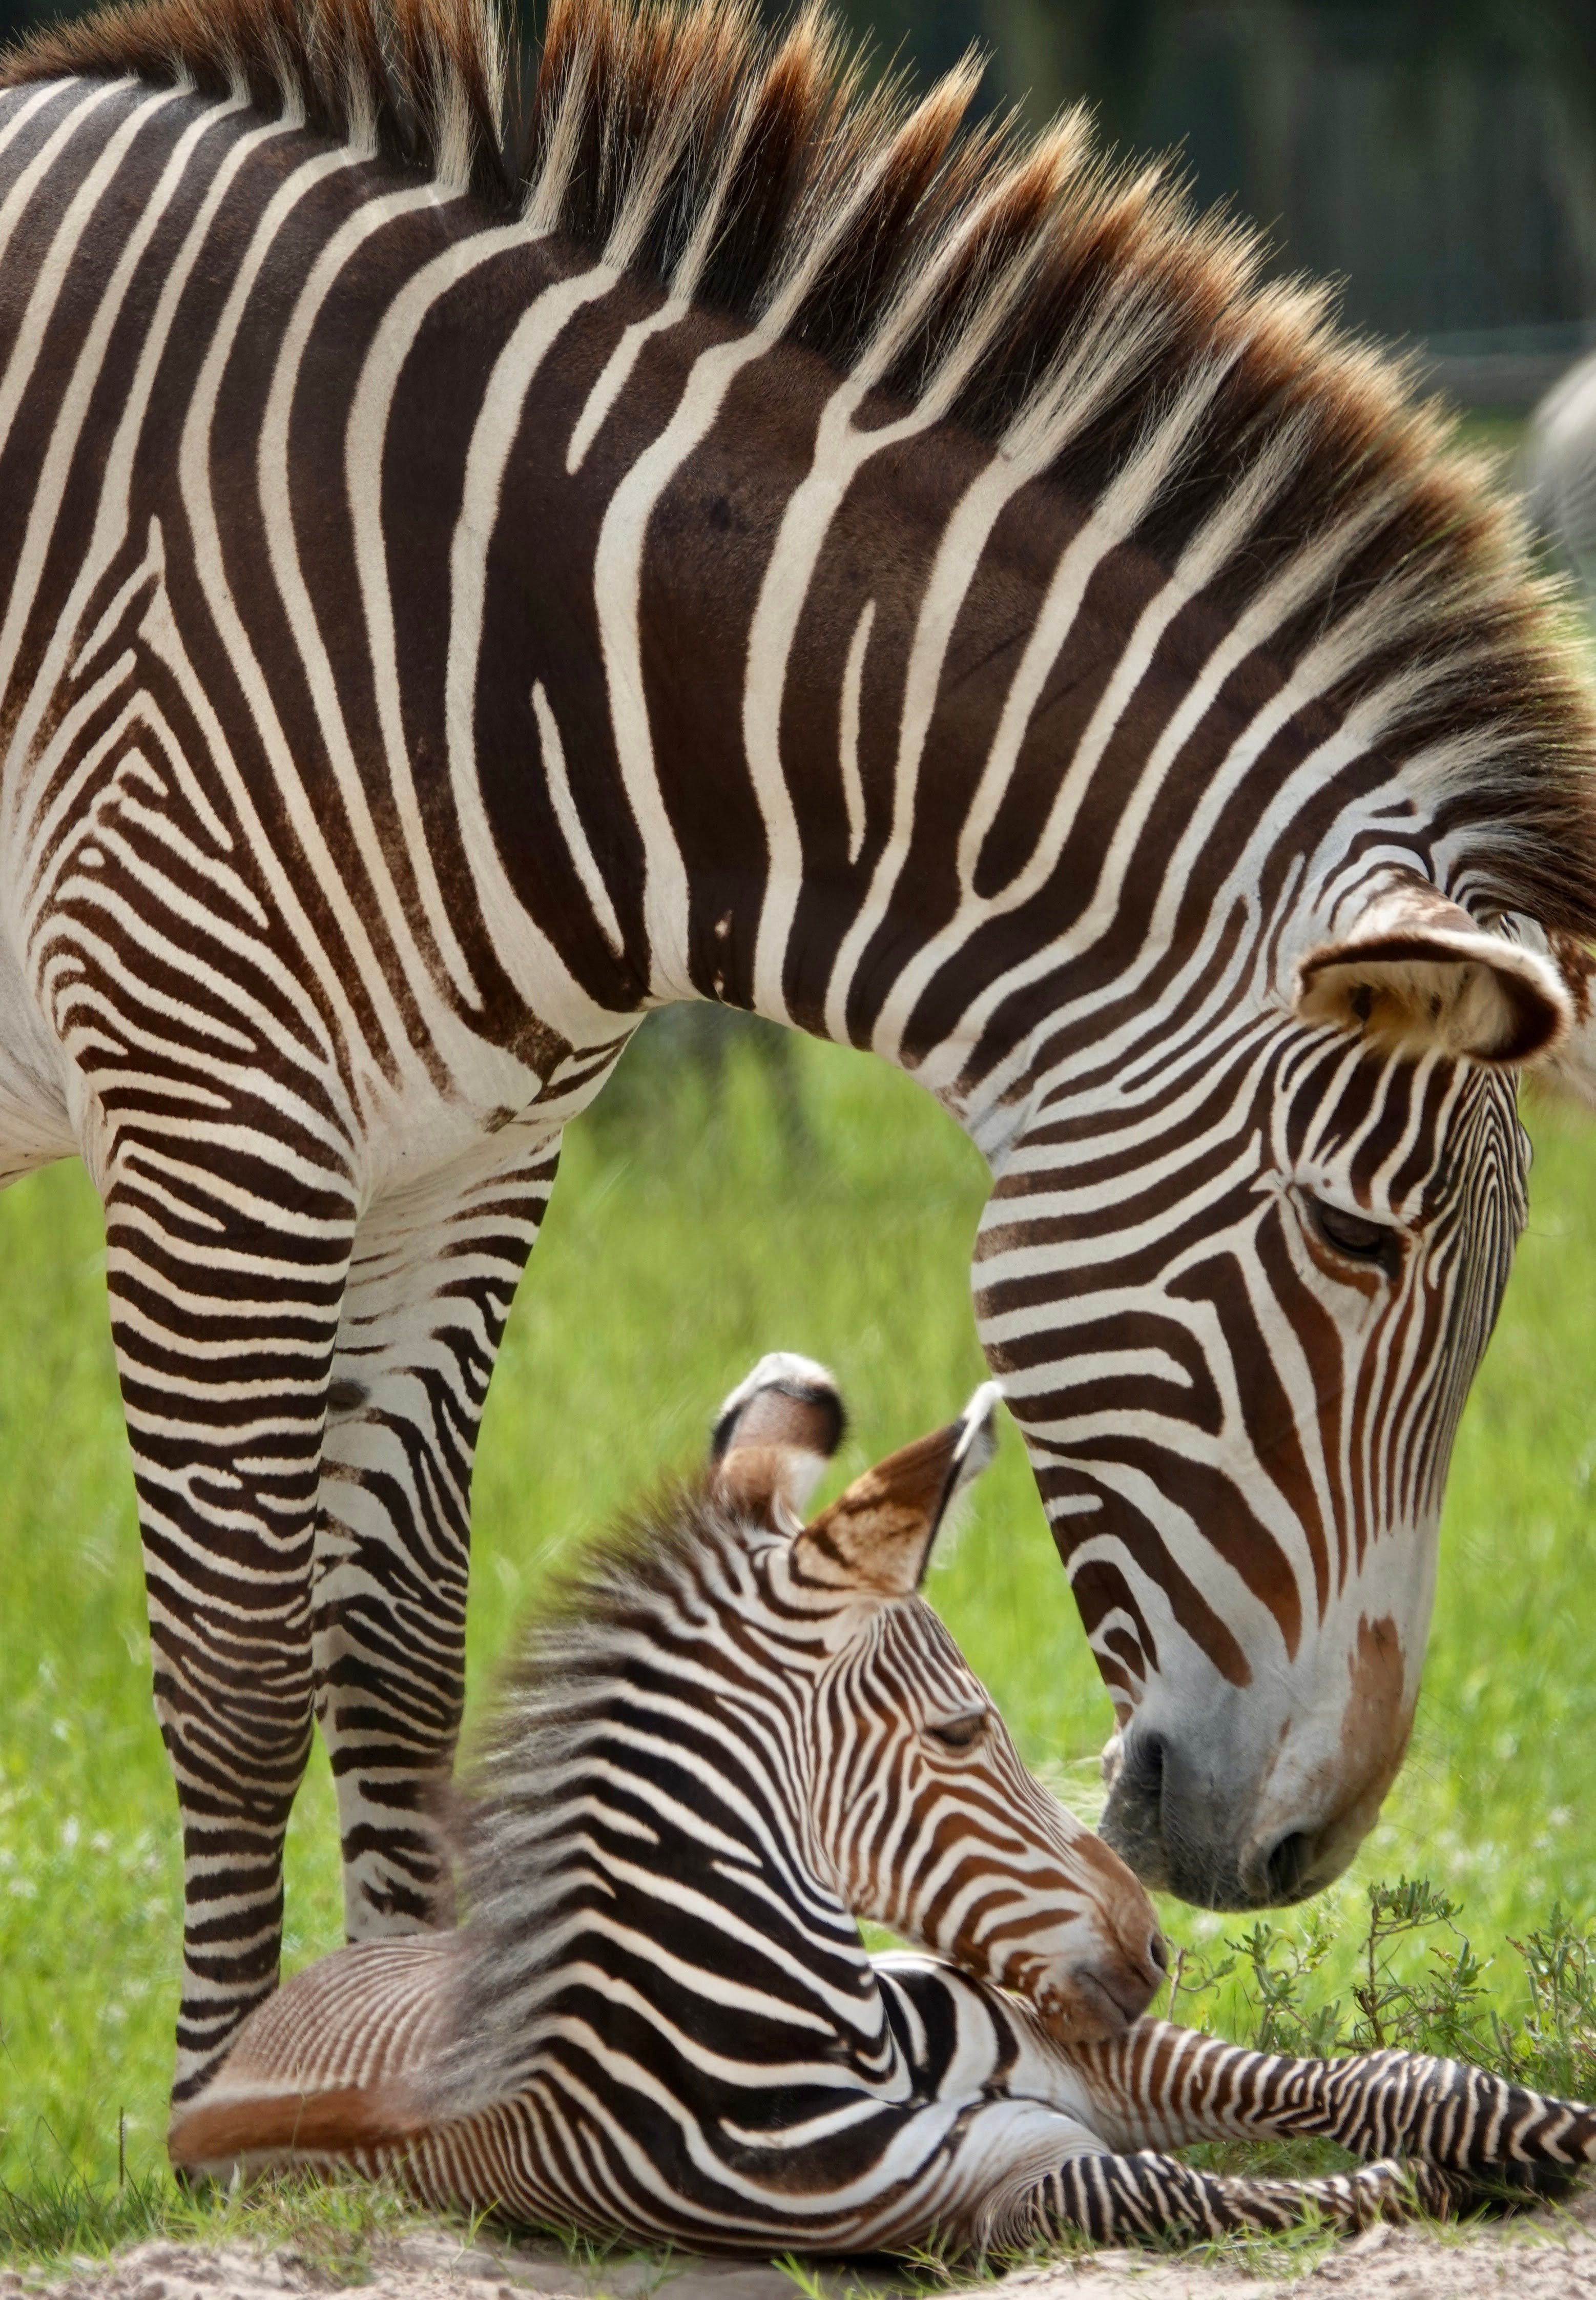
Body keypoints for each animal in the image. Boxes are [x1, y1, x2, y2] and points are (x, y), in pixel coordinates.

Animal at [1, 0, 1596, 2102]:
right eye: (1353, 1238)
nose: (1305, 1846)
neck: (511, 612)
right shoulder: (208, 1111)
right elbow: (243, 1671)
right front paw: (226, 2107)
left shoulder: (464, 1148)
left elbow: (396, 1647)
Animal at [167, 1355, 1596, 2254]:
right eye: (961, 1730)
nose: (1154, 1951)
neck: (838, 2029)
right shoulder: (1009, 2183)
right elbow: (1247, 2196)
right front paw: (1434, 2184)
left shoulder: (1085, 2052)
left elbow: (1413, 2079)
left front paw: (1547, 2138)